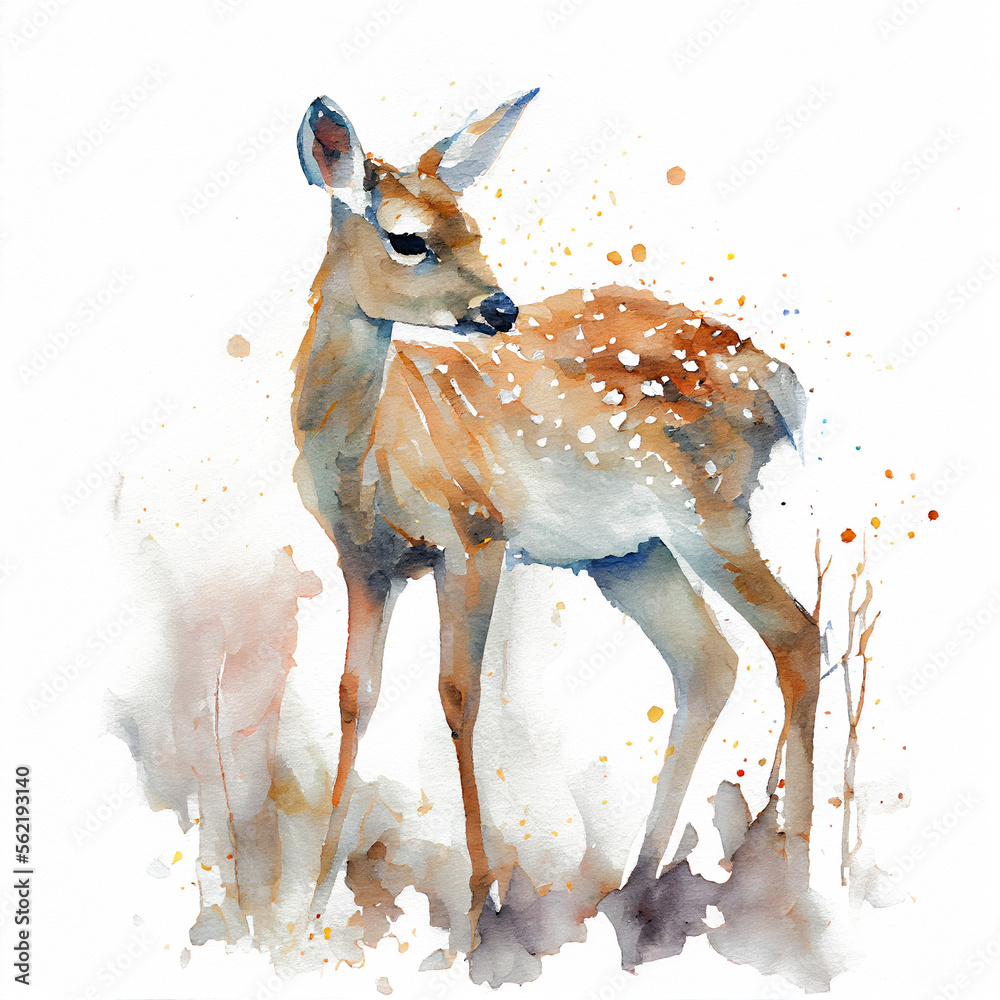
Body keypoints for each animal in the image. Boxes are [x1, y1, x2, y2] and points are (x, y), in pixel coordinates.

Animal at [290, 89, 822, 950]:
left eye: (475, 227)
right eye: (408, 239)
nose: (501, 308)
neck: (368, 455)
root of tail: (781, 380)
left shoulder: (473, 533)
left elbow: (457, 694)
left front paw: (480, 910)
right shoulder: (363, 560)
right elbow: (352, 695)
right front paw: (309, 905)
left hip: (709, 511)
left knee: (796, 634)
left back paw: (796, 886)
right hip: (631, 553)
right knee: (708, 661)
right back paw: (637, 890)